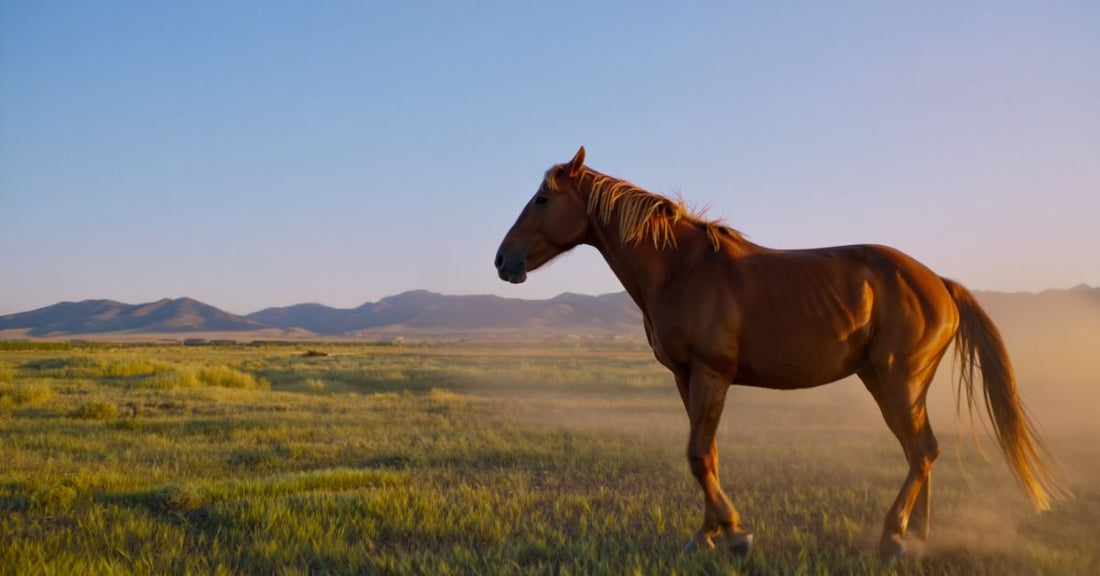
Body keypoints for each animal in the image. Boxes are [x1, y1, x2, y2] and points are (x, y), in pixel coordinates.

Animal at [494, 147, 1065, 559]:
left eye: (542, 200)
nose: (503, 260)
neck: (682, 269)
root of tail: (940, 284)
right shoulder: (686, 377)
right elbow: (707, 455)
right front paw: (708, 535)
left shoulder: (711, 374)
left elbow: (698, 454)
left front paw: (735, 534)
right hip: (888, 383)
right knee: (920, 452)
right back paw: (917, 536)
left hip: (897, 381)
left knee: (922, 451)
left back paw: (892, 537)